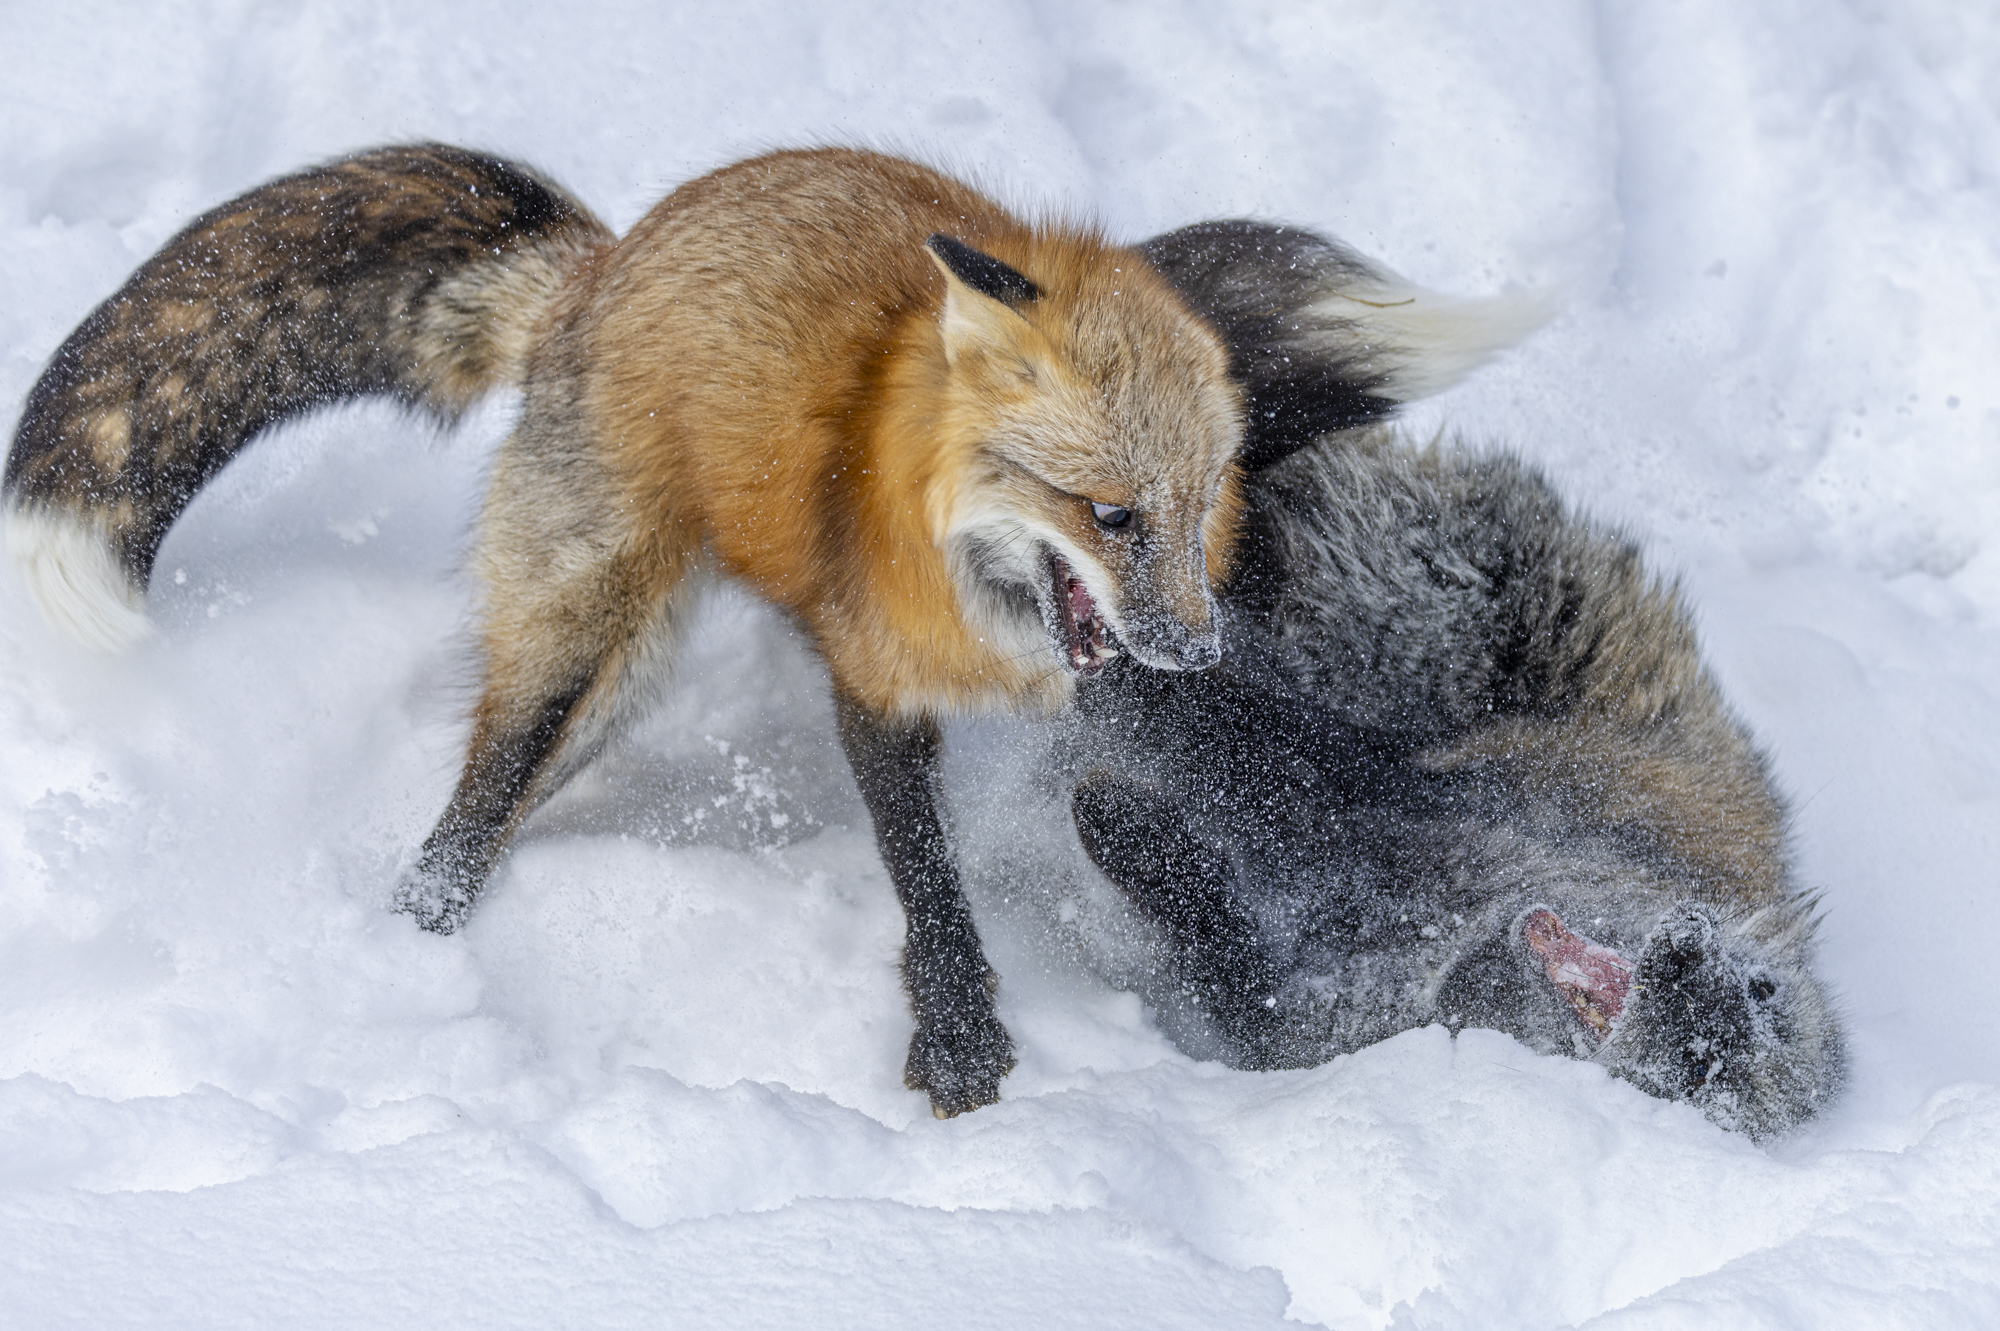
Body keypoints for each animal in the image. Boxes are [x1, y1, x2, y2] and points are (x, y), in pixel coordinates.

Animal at [3, 146, 1526, 1117]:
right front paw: (958, 1033)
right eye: (1106, 513)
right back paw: (410, 951)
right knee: (467, 818)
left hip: (615, 685)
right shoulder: (871, 676)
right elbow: (927, 877)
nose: (1193, 651)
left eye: (1203, 499)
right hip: (584, 648)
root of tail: (605, 265)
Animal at [1032, 222, 1846, 1138]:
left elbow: (1207, 911)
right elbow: (1255, 739)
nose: (1689, 949)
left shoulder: (1295, 996)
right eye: (1762, 990)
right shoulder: (1389, 789)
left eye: (1708, 1068)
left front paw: (1126, 818)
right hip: (1427, 605)